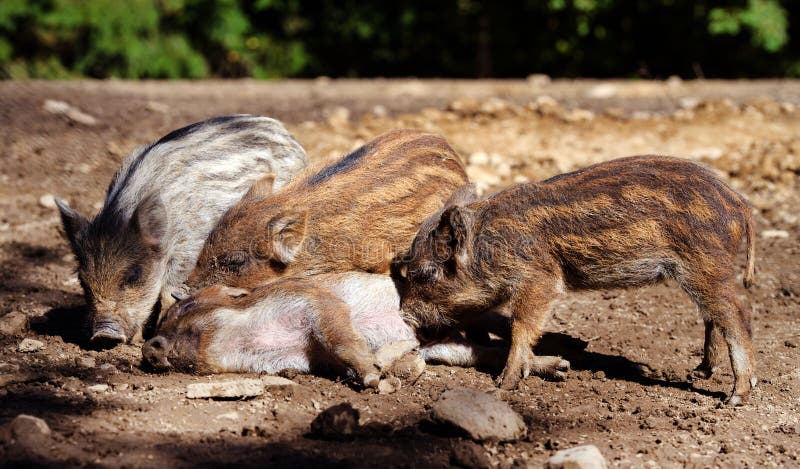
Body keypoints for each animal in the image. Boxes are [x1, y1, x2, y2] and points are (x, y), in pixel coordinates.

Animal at [55, 115, 308, 346]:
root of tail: (287, 134)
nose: (103, 335)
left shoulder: (189, 248)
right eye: (82, 281)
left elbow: (168, 293)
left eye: (133, 275)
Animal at [142, 272, 499, 387]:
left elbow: (342, 341)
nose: (148, 347)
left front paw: (376, 381)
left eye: (185, 308)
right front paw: (379, 375)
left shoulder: (318, 305)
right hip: (449, 348)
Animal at [391, 155, 757, 405]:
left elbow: (521, 326)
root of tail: (741, 205)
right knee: (712, 316)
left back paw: (735, 397)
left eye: (426, 273)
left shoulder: (540, 279)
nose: (403, 315)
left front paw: (503, 386)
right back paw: (700, 371)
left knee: (736, 314)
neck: (488, 247)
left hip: (705, 263)